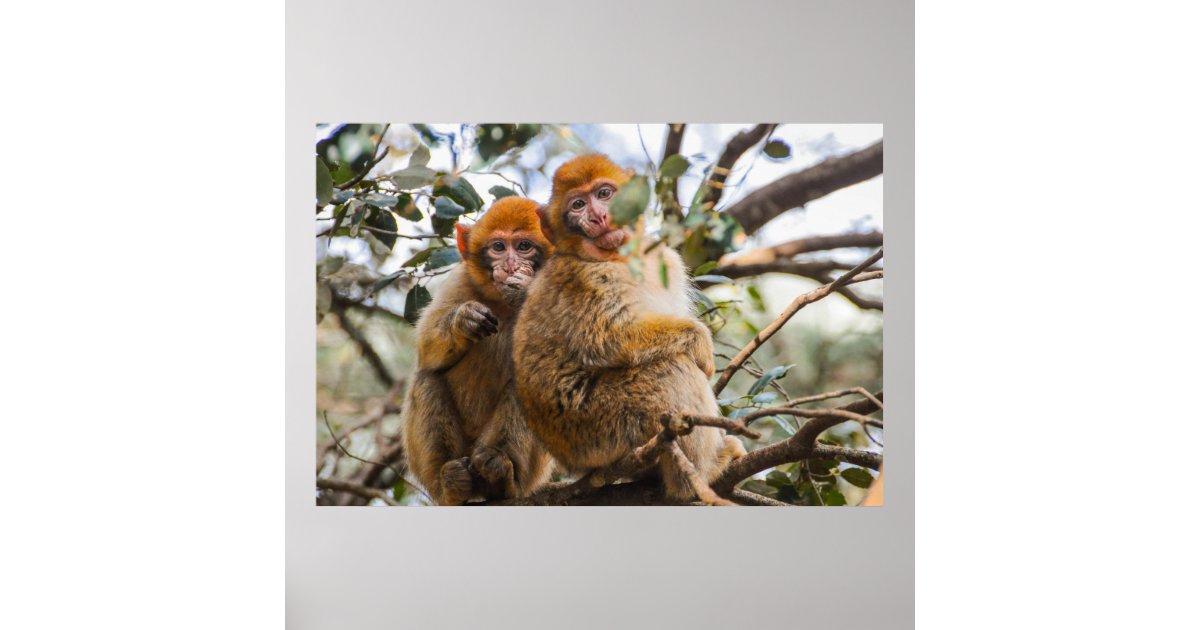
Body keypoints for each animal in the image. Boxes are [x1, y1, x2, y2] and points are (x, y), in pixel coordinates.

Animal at [401, 196, 554, 505]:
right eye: (498, 247)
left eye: (523, 246)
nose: (510, 265)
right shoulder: (461, 281)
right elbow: (426, 351)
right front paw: (463, 320)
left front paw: (525, 289)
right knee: (427, 377)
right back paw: (451, 484)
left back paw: (499, 474)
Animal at [512, 154, 745, 502]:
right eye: (578, 205)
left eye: (604, 193)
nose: (597, 216)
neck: (621, 257)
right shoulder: (586, 278)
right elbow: (609, 338)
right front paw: (700, 343)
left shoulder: (666, 259)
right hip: (599, 427)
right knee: (671, 368)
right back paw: (697, 478)